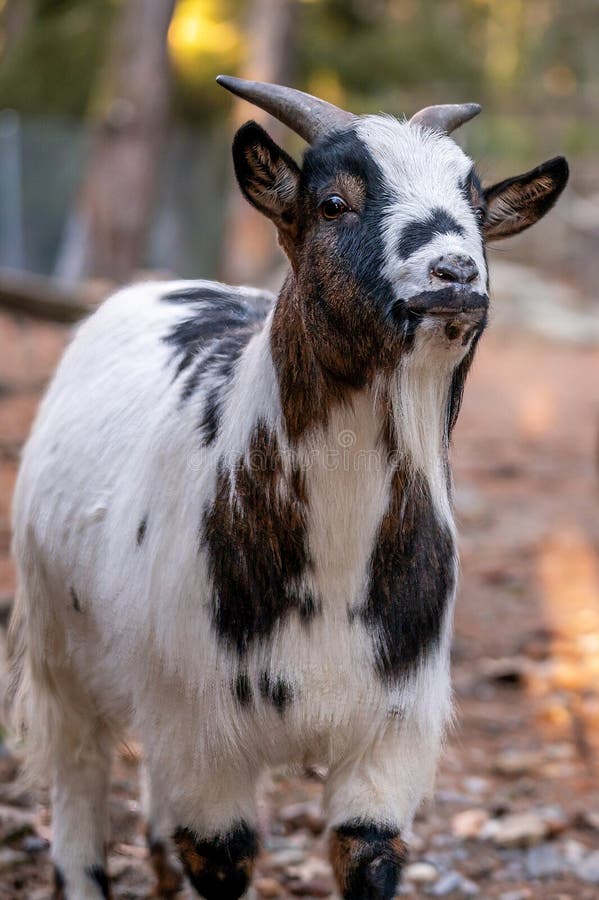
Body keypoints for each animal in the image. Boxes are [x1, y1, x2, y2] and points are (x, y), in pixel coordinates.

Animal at [9, 77, 568, 899]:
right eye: (333, 203)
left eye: (474, 208)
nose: (455, 274)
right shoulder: (203, 730)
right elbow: (221, 859)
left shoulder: (391, 734)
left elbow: (367, 857)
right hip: (58, 644)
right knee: (78, 770)